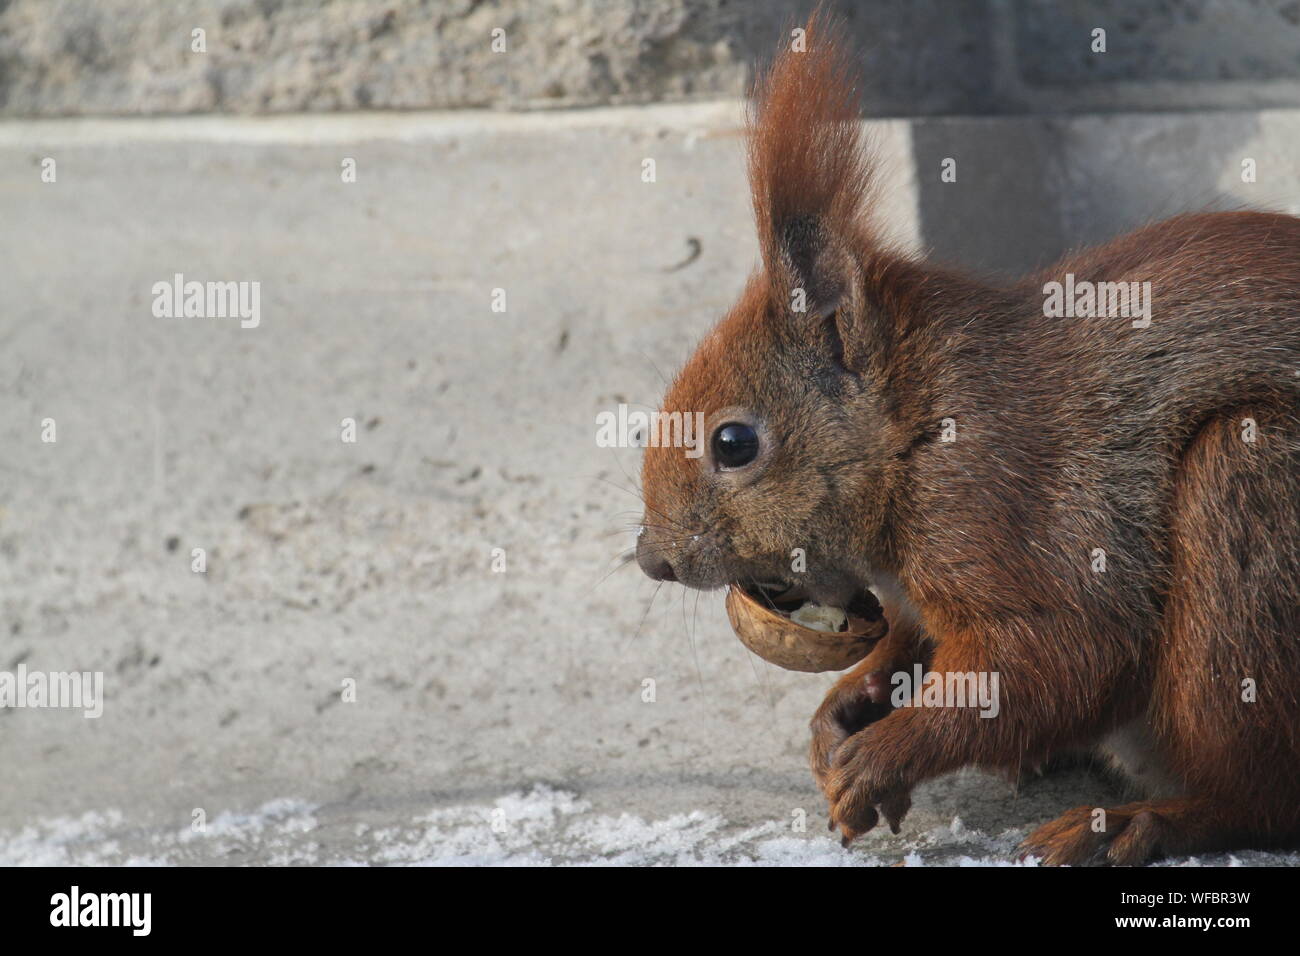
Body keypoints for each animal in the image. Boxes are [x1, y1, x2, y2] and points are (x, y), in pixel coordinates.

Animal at [634, 13, 1300, 865]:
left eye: (733, 444)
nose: (652, 558)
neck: (919, 423)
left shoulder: (1010, 502)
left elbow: (1066, 655)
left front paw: (884, 756)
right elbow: (911, 647)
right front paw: (838, 713)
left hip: (1250, 494)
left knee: (1259, 800)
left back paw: (1145, 820)